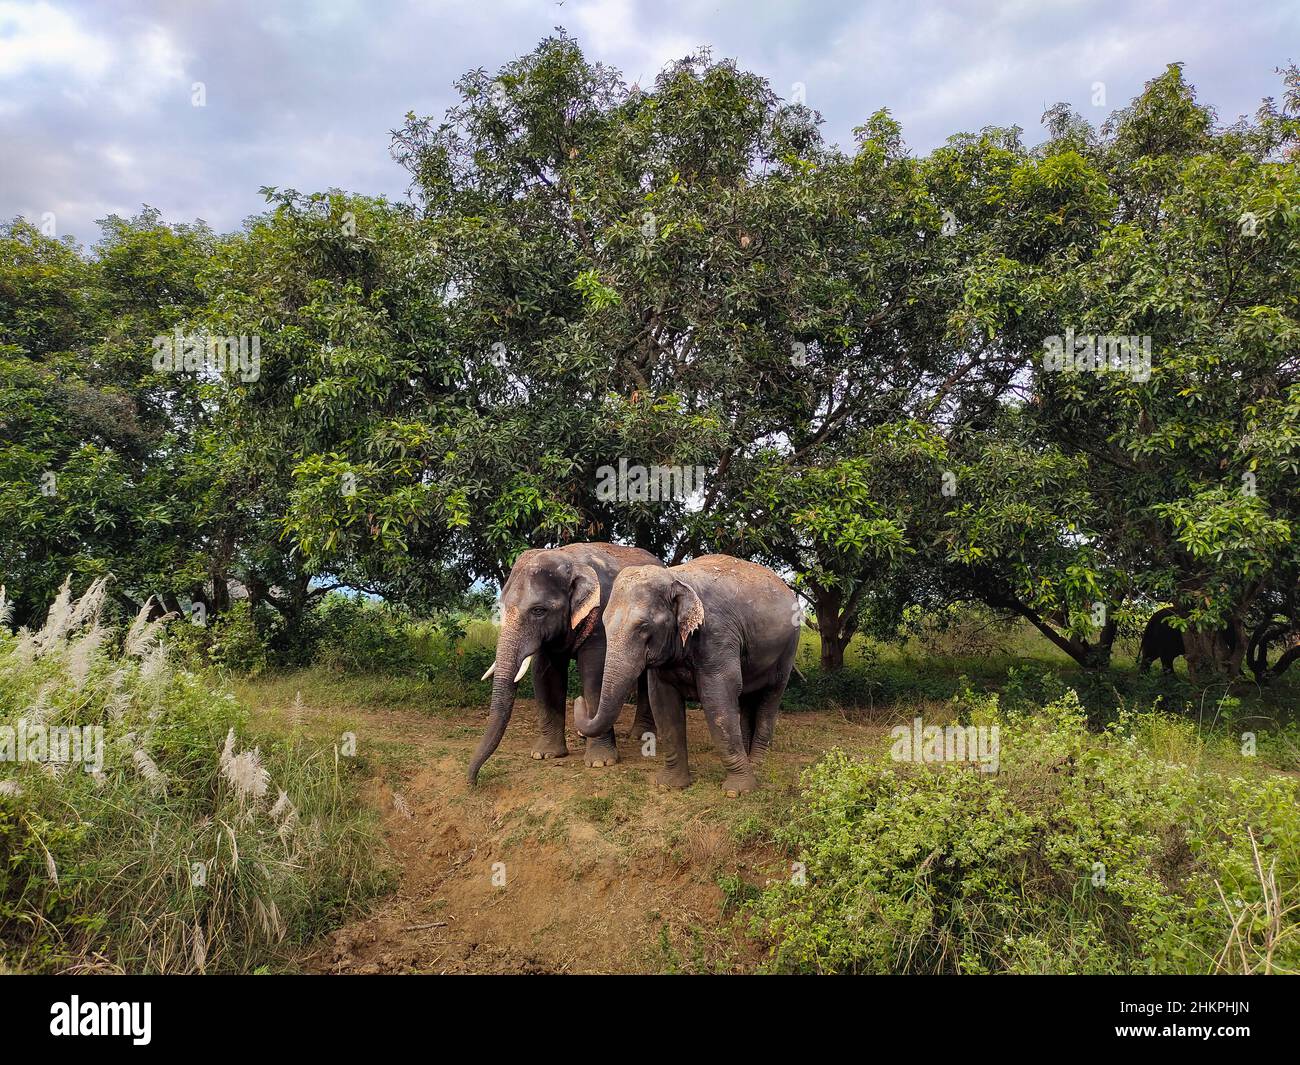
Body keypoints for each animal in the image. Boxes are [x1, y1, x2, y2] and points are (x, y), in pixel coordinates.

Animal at [467, 542, 663, 785]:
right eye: (502, 608)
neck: (568, 558)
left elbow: (595, 674)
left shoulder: (602, 619)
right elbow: (544, 674)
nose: (473, 782)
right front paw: (544, 755)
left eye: (538, 611)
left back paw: (640, 736)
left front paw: (601, 762)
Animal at [576, 554, 799, 796]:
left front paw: (738, 791)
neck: (675, 576)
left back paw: (758, 762)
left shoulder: (718, 636)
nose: (579, 700)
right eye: (605, 623)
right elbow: (663, 703)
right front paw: (669, 784)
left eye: (643, 626)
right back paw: (749, 756)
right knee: (748, 696)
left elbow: (718, 698)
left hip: (788, 648)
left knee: (771, 695)